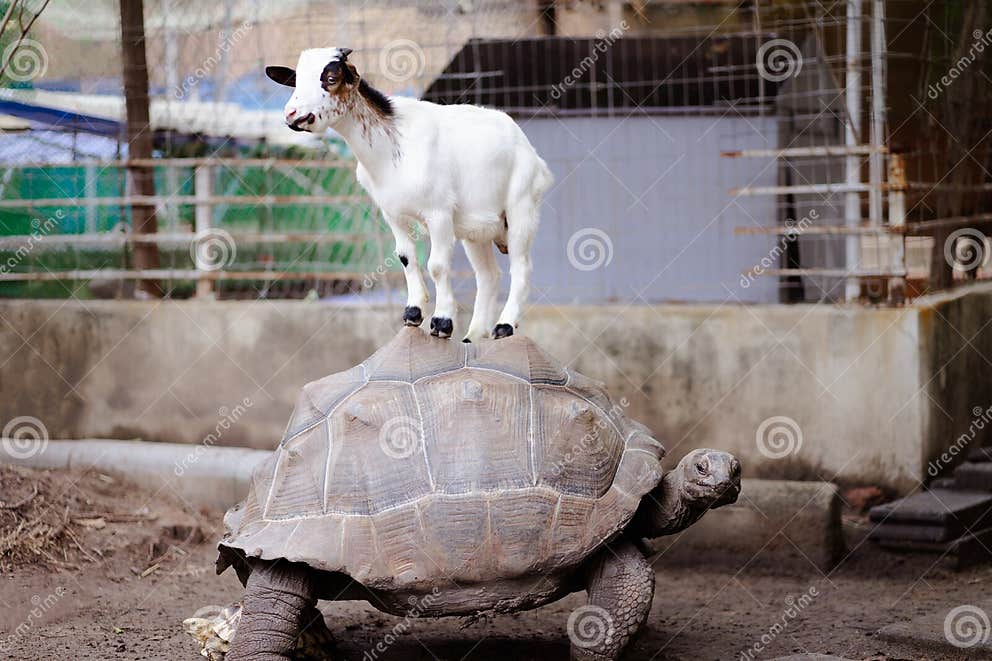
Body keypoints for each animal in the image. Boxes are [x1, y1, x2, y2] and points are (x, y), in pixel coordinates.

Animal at [266, 47, 553, 342]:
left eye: (331, 78)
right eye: (296, 80)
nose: (292, 114)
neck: (391, 149)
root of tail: (532, 154)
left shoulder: (439, 212)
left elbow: (437, 265)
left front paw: (442, 322)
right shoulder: (391, 213)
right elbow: (405, 257)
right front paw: (413, 314)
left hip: (521, 207)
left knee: (521, 267)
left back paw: (504, 326)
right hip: (476, 229)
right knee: (488, 275)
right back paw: (471, 336)